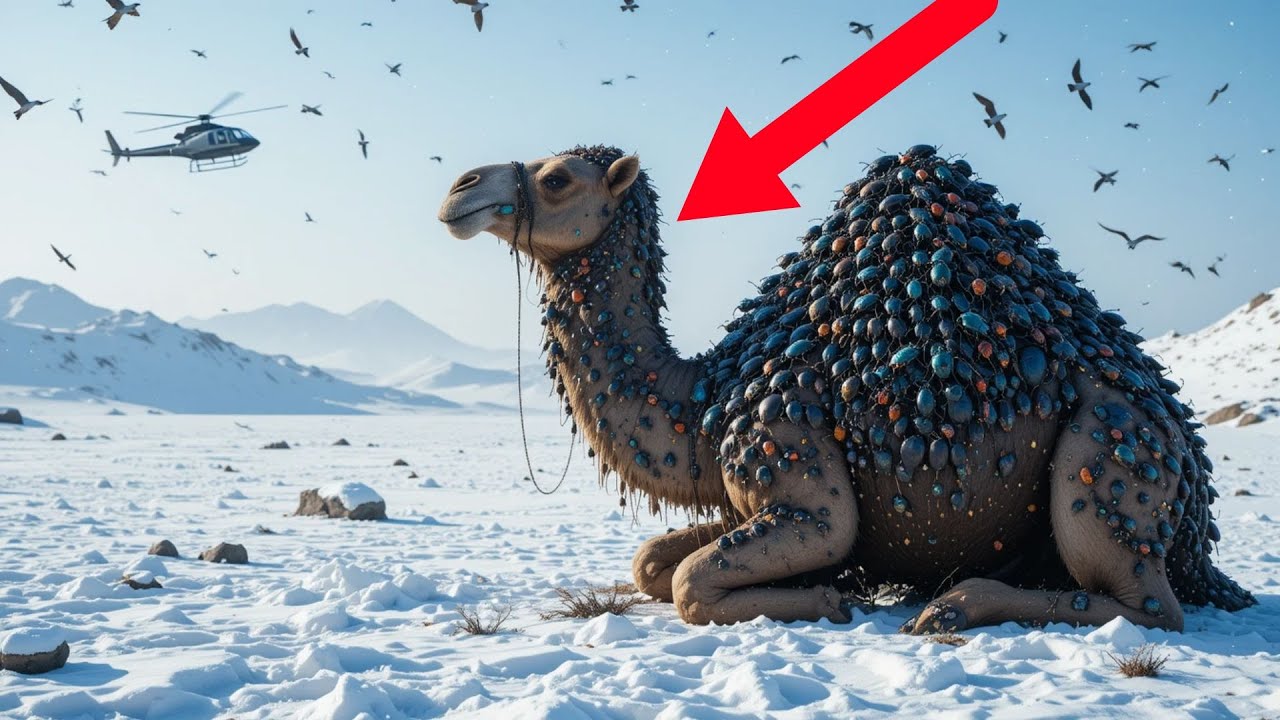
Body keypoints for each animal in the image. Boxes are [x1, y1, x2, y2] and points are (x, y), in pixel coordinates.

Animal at [437, 144, 1254, 632]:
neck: (706, 398)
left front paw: (831, 597)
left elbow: (693, 584)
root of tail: (1198, 511)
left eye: (556, 178)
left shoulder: (788, 457)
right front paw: (833, 587)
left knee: (1150, 603)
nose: (458, 188)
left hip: (1114, 444)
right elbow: (651, 564)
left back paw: (954, 606)